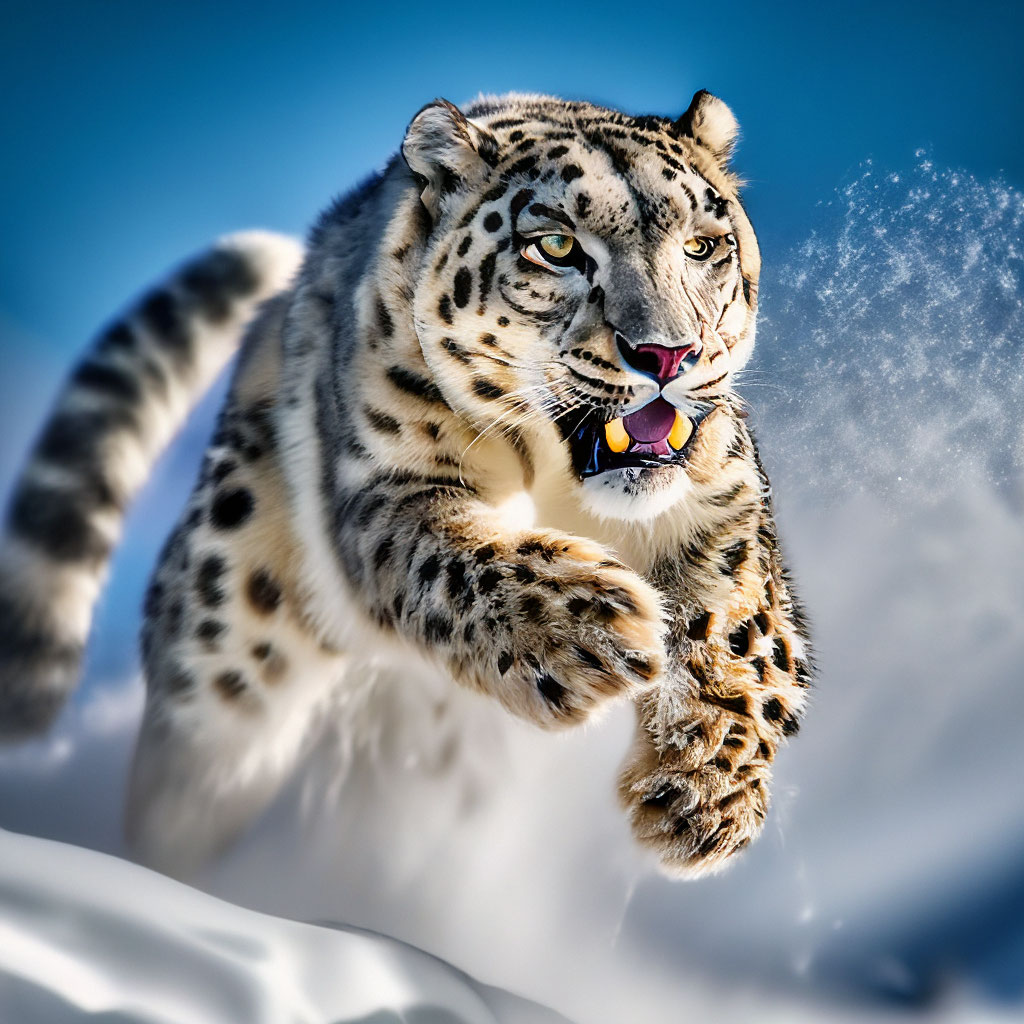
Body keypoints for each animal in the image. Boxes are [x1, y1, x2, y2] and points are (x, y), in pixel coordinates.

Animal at [0, 90, 812, 879]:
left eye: (703, 245)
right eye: (556, 246)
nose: (669, 354)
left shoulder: (721, 495)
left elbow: (741, 628)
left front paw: (704, 792)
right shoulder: (388, 487)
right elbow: (459, 563)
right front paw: (592, 629)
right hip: (223, 659)